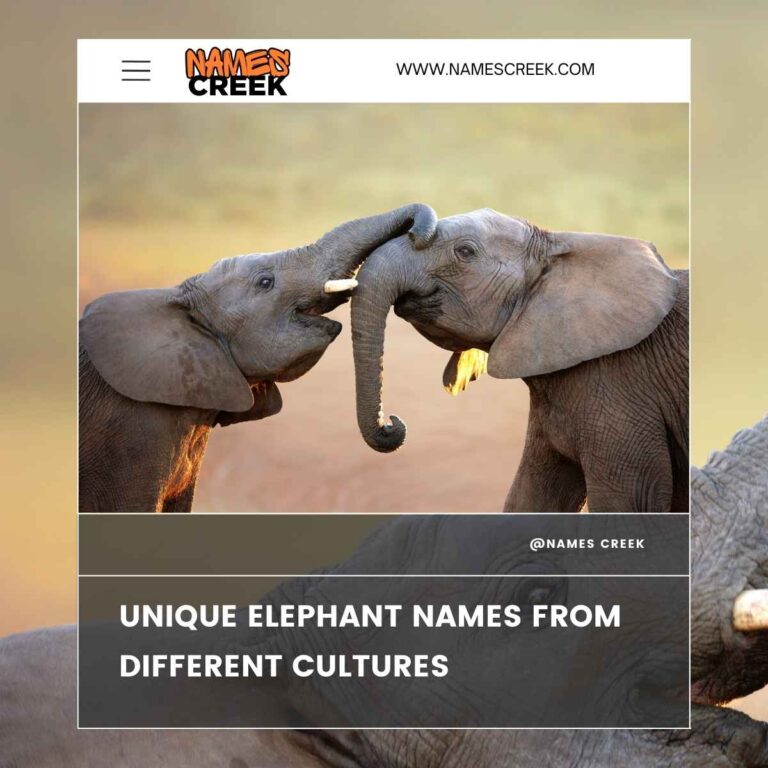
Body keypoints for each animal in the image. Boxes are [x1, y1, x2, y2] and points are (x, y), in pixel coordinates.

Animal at [349, 209, 688, 513]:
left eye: (465, 251)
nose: (392, 424)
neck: (558, 246)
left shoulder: (620, 384)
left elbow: (628, 499)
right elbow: (531, 496)